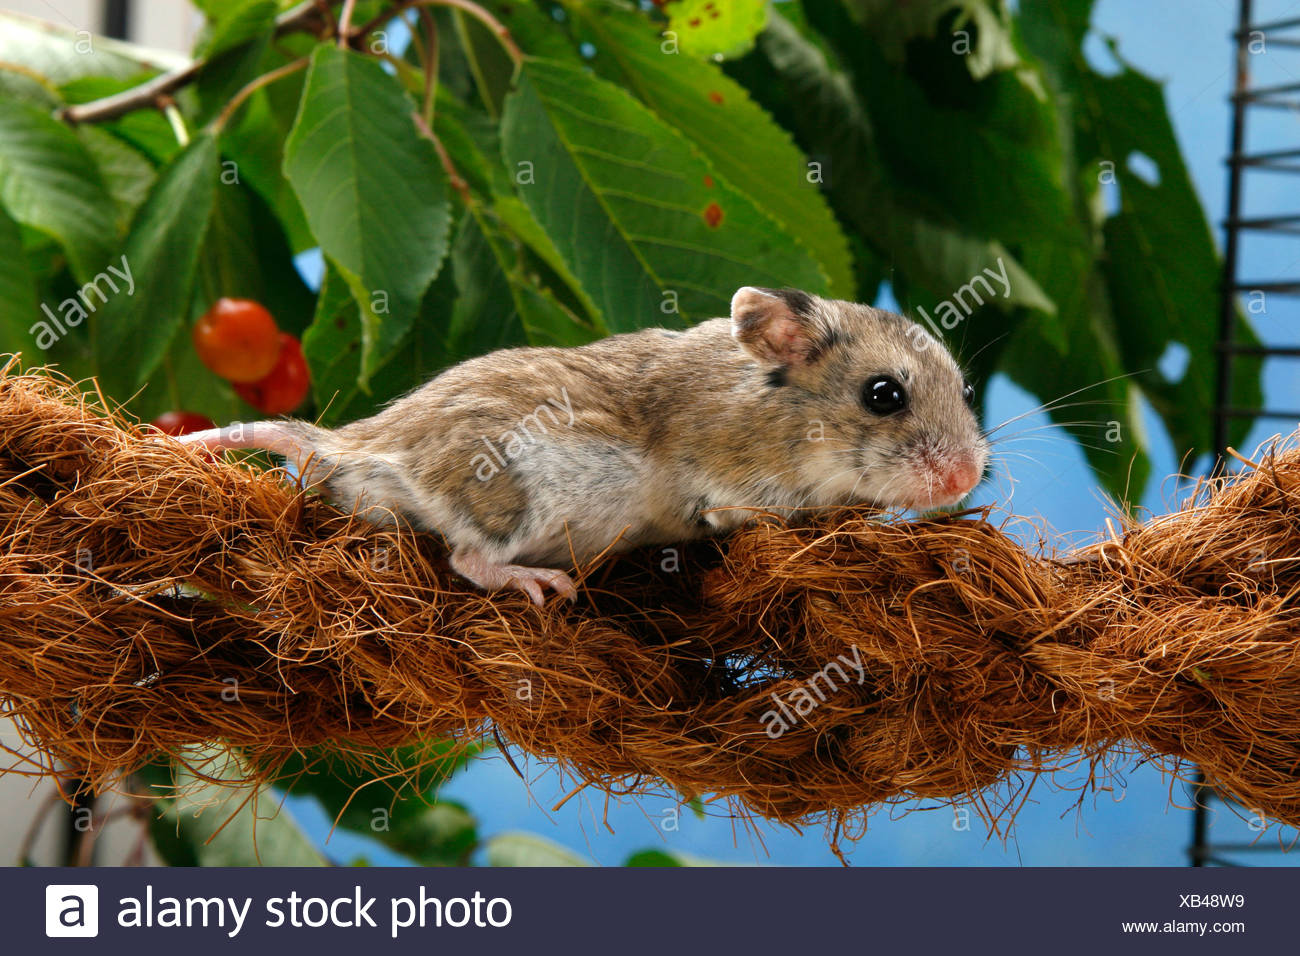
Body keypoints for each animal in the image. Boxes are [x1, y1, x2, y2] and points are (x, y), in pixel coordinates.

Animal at [178, 286, 989, 605]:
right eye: (883, 395)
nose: (967, 477)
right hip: (509, 492)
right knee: (468, 559)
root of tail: (350, 447)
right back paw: (535, 583)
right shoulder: (728, 483)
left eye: (967, 390)